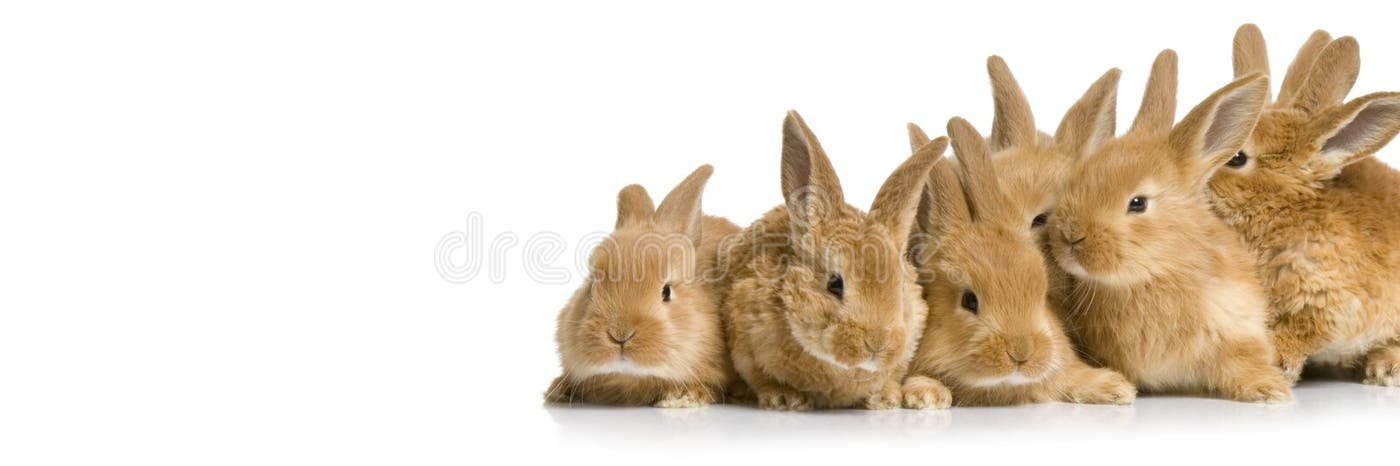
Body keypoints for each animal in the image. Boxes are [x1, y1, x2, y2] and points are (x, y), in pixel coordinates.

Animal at [719, 110, 947, 410]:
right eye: (834, 284)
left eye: (900, 290)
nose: (876, 345)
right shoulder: (746, 347)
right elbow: (762, 379)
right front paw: (785, 398)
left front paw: (887, 398)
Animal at [1045, 49, 1293, 403]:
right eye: (1075, 181)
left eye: (1138, 203)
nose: (1070, 236)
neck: (1153, 273)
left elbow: (1240, 361)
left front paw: (1269, 389)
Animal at [1206, 24, 1400, 386]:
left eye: (1237, 158)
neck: (1280, 210)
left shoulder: (1327, 299)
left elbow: (1304, 331)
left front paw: (1276, 360)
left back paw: (1385, 368)